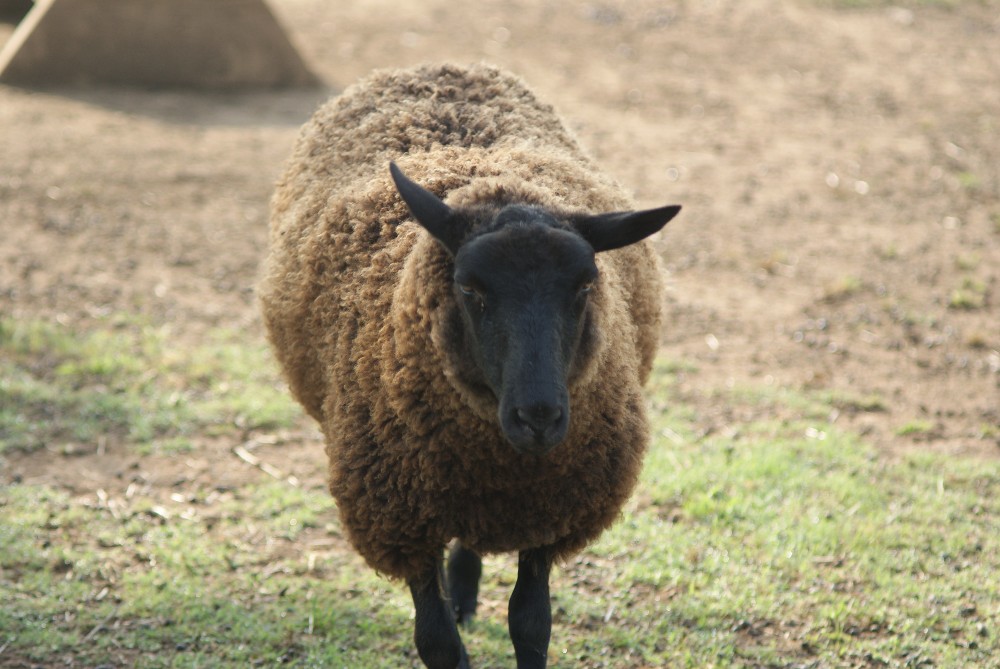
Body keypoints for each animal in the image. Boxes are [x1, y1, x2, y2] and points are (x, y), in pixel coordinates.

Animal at [258, 62, 680, 669]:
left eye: (585, 285)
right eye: (470, 289)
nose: (539, 417)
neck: (497, 466)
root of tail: (437, 66)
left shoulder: (549, 511)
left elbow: (531, 623)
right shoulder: (401, 519)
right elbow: (435, 640)